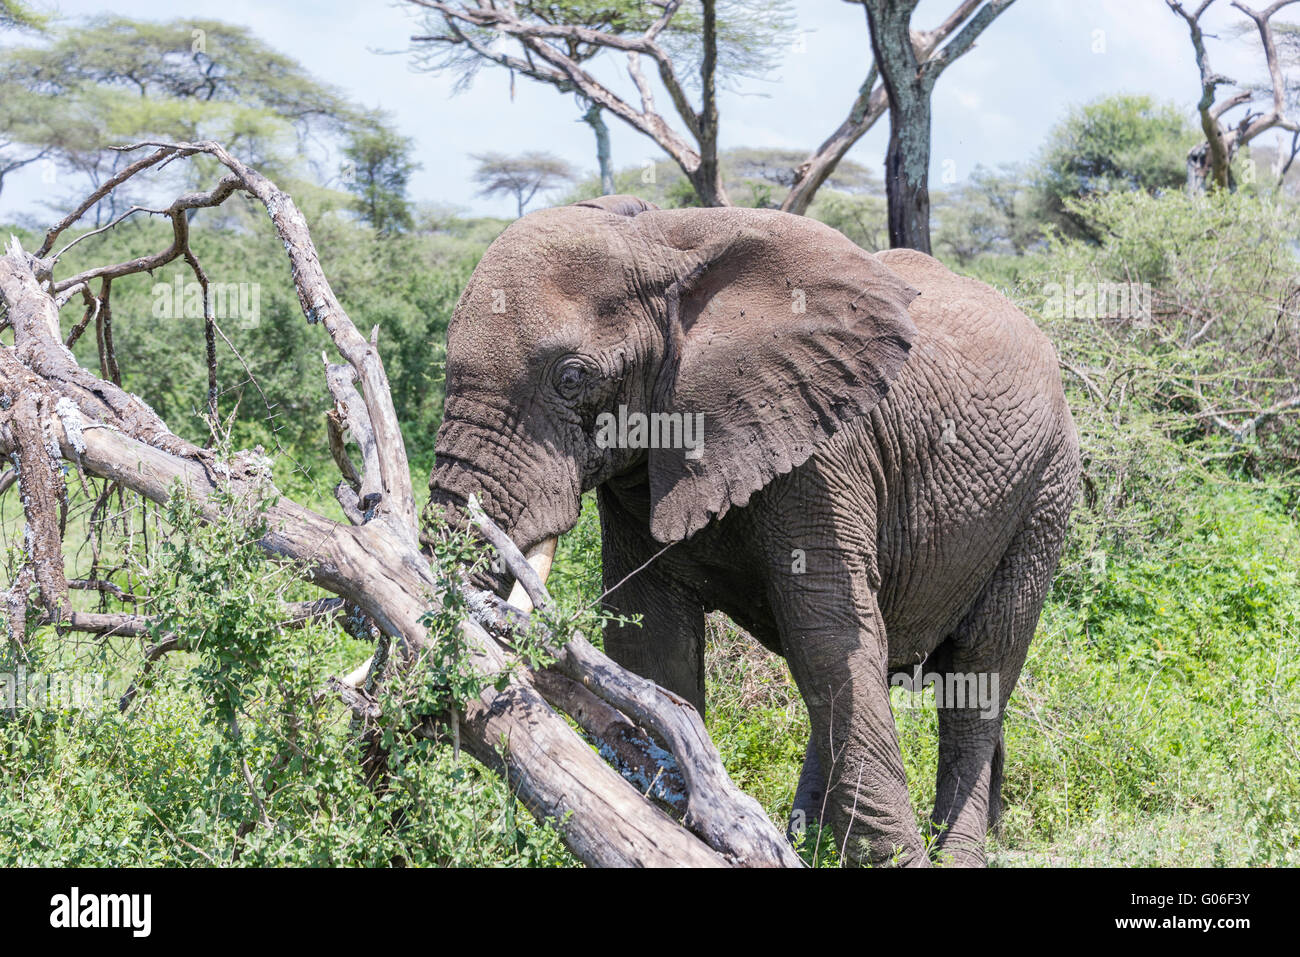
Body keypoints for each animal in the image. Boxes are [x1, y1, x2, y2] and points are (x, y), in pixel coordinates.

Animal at [426, 194, 1080, 867]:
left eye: (572, 377)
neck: (664, 241)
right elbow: (650, 641)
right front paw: (685, 822)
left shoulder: (823, 452)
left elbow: (827, 635)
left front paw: (894, 861)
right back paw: (807, 839)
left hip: (1044, 493)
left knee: (978, 669)